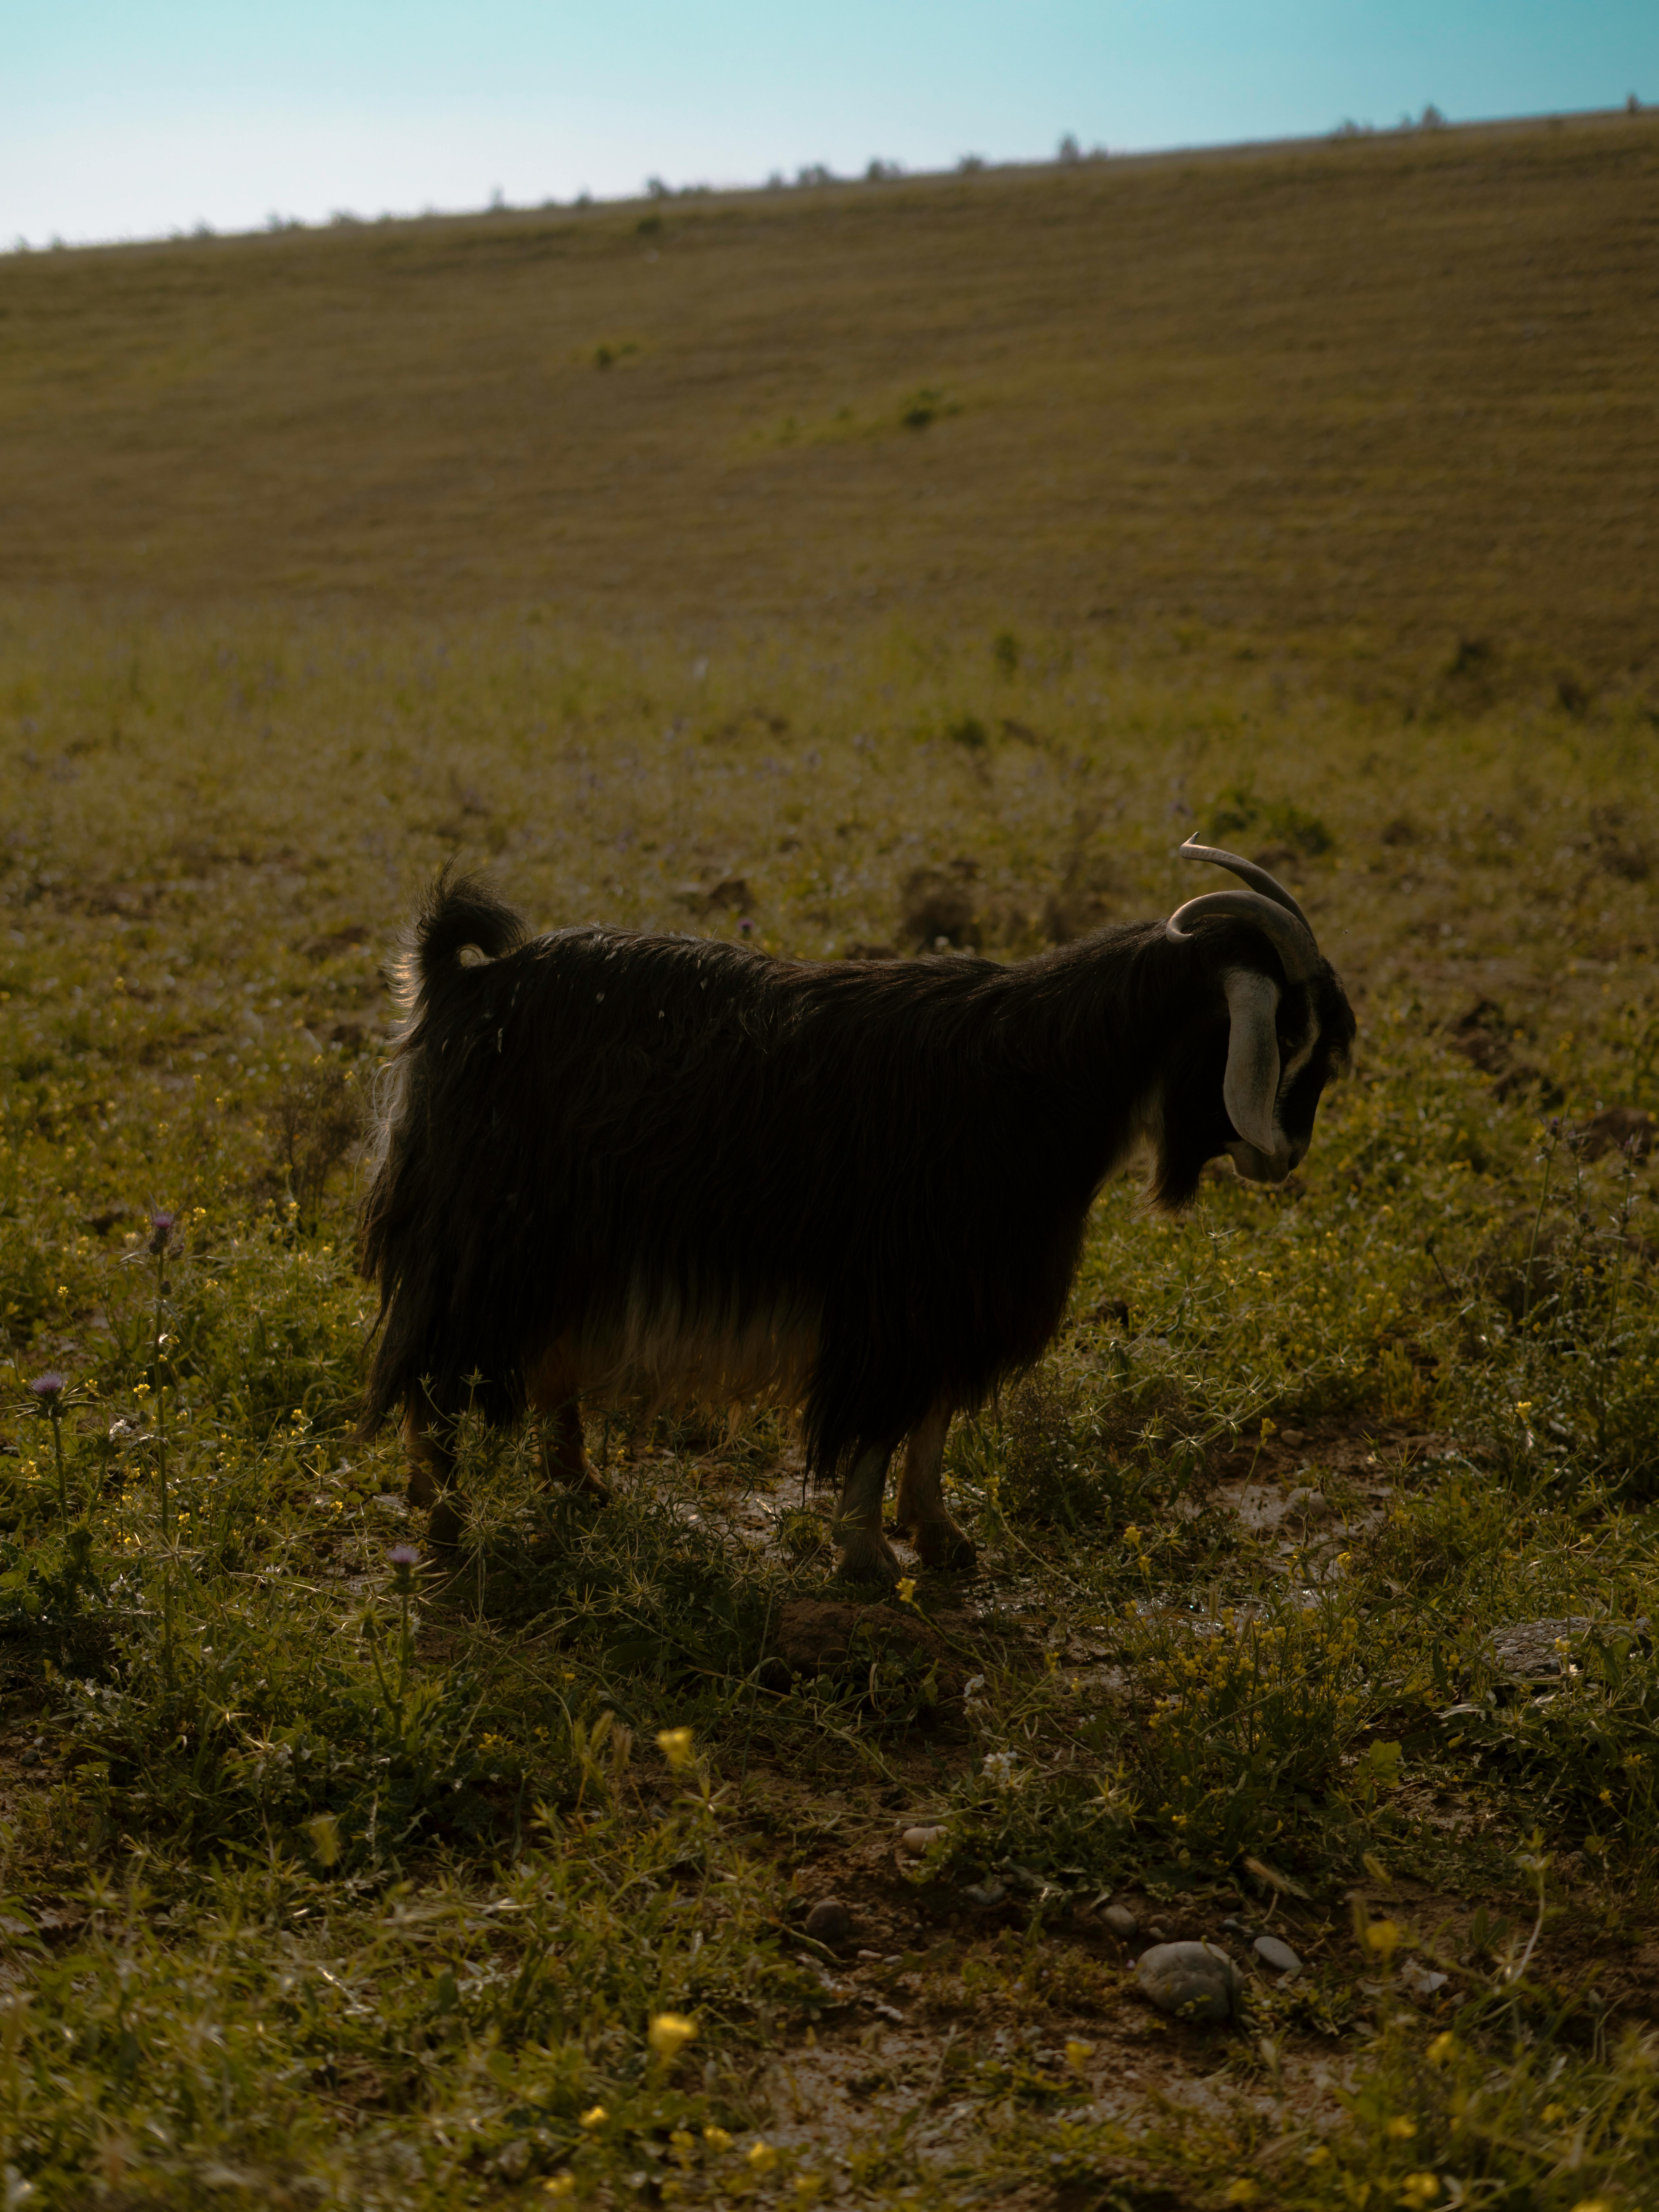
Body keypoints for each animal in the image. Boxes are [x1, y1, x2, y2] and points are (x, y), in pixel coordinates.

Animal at [358, 839, 1355, 1581]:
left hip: (562, 1244)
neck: (1044, 1073)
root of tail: (463, 984)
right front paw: (868, 1553)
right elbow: (880, 1420)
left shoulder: (966, 1296)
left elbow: (933, 1419)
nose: (1287, 1155)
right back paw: (445, 1529)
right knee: (433, 1367)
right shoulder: (900, 1298)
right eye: (1289, 1029)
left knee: (542, 1355)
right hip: (482, 1236)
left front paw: (940, 1537)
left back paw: (576, 1483)